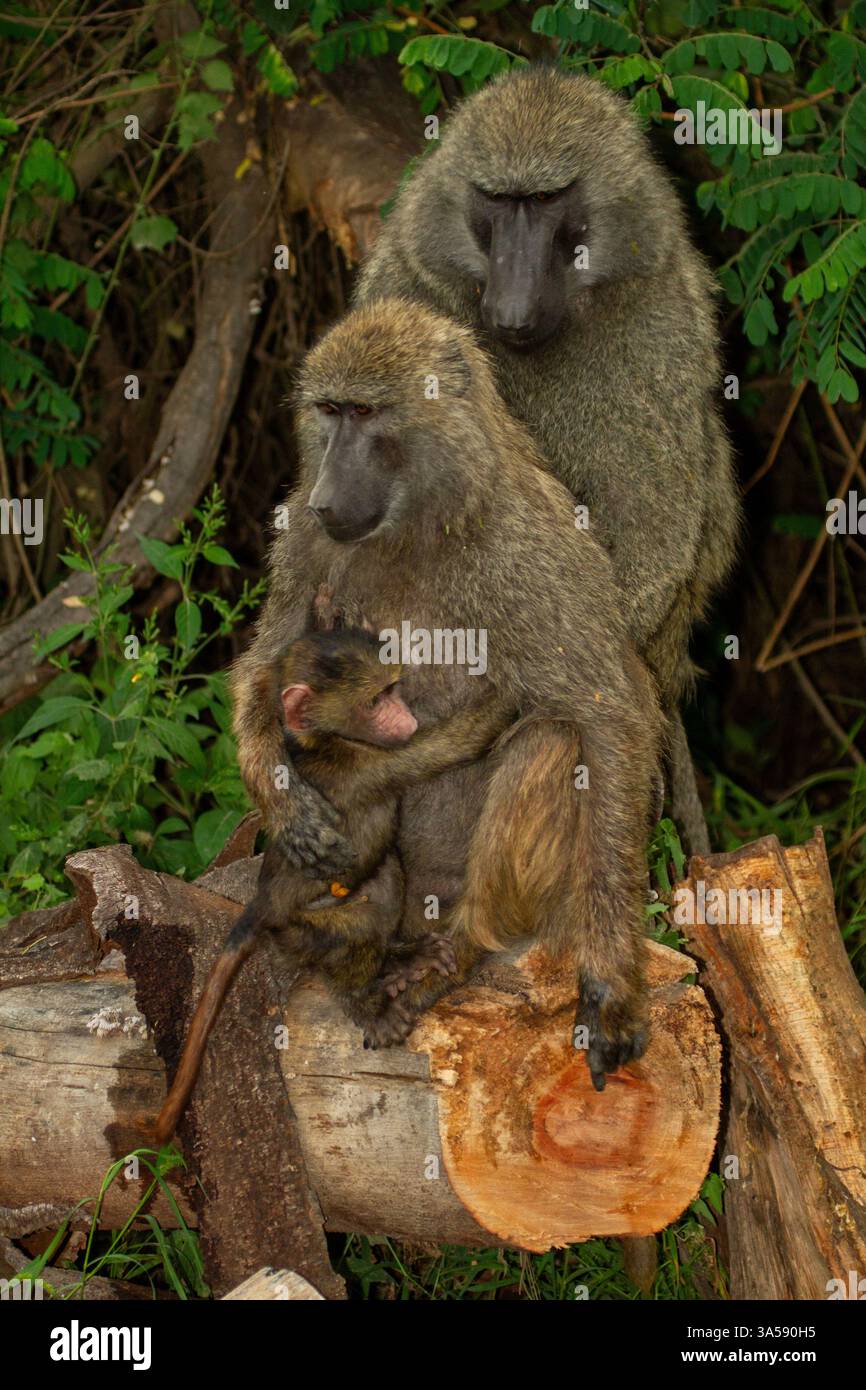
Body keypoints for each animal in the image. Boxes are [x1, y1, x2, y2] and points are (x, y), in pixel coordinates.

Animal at [153, 624, 512, 1144]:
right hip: (300, 929)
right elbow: (453, 744)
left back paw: (401, 959)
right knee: (357, 927)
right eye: (377, 699)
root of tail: (261, 903)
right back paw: (365, 1000)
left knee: (386, 880)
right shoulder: (370, 762)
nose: (405, 715)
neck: (325, 741)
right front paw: (507, 696)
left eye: (393, 689)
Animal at [232, 298, 665, 1089]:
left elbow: (607, 717)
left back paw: (458, 953)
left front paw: (613, 988)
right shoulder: (305, 542)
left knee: (553, 740)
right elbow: (269, 666)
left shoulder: (529, 545)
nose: (325, 496)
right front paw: (285, 802)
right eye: (329, 411)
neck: (420, 521)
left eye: (367, 412)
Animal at [344, 65, 741, 859]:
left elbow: (651, 524)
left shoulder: (660, 319)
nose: (513, 308)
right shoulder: (406, 282)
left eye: (548, 201)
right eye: (500, 202)